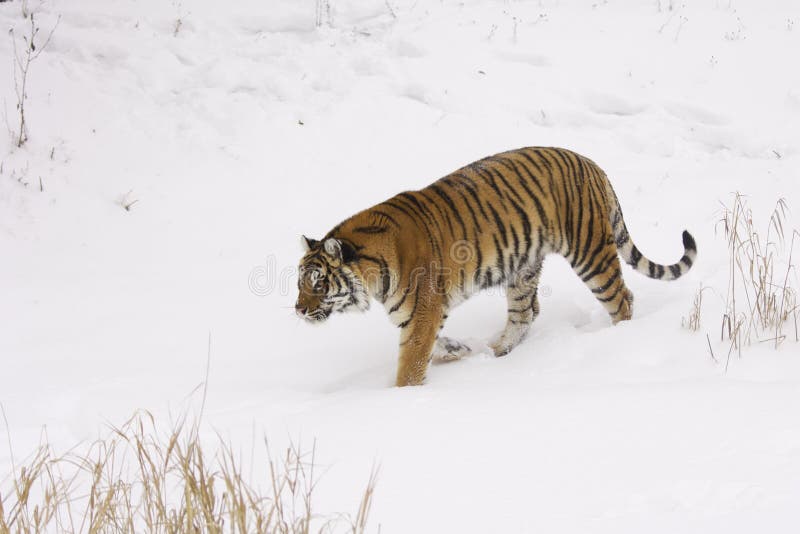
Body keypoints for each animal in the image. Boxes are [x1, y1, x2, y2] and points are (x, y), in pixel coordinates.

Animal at [295, 147, 696, 387]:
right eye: (298, 283)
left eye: (318, 283)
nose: (298, 310)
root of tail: (592, 164)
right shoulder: (422, 316)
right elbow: (432, 345)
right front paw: (458, 349)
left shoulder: (423, 312)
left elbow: (410, 363)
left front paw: (399, 396)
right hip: (523, 268)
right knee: (526, 312)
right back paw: (498, 351)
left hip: (590, 253)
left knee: (621, 299)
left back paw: (619, 339)